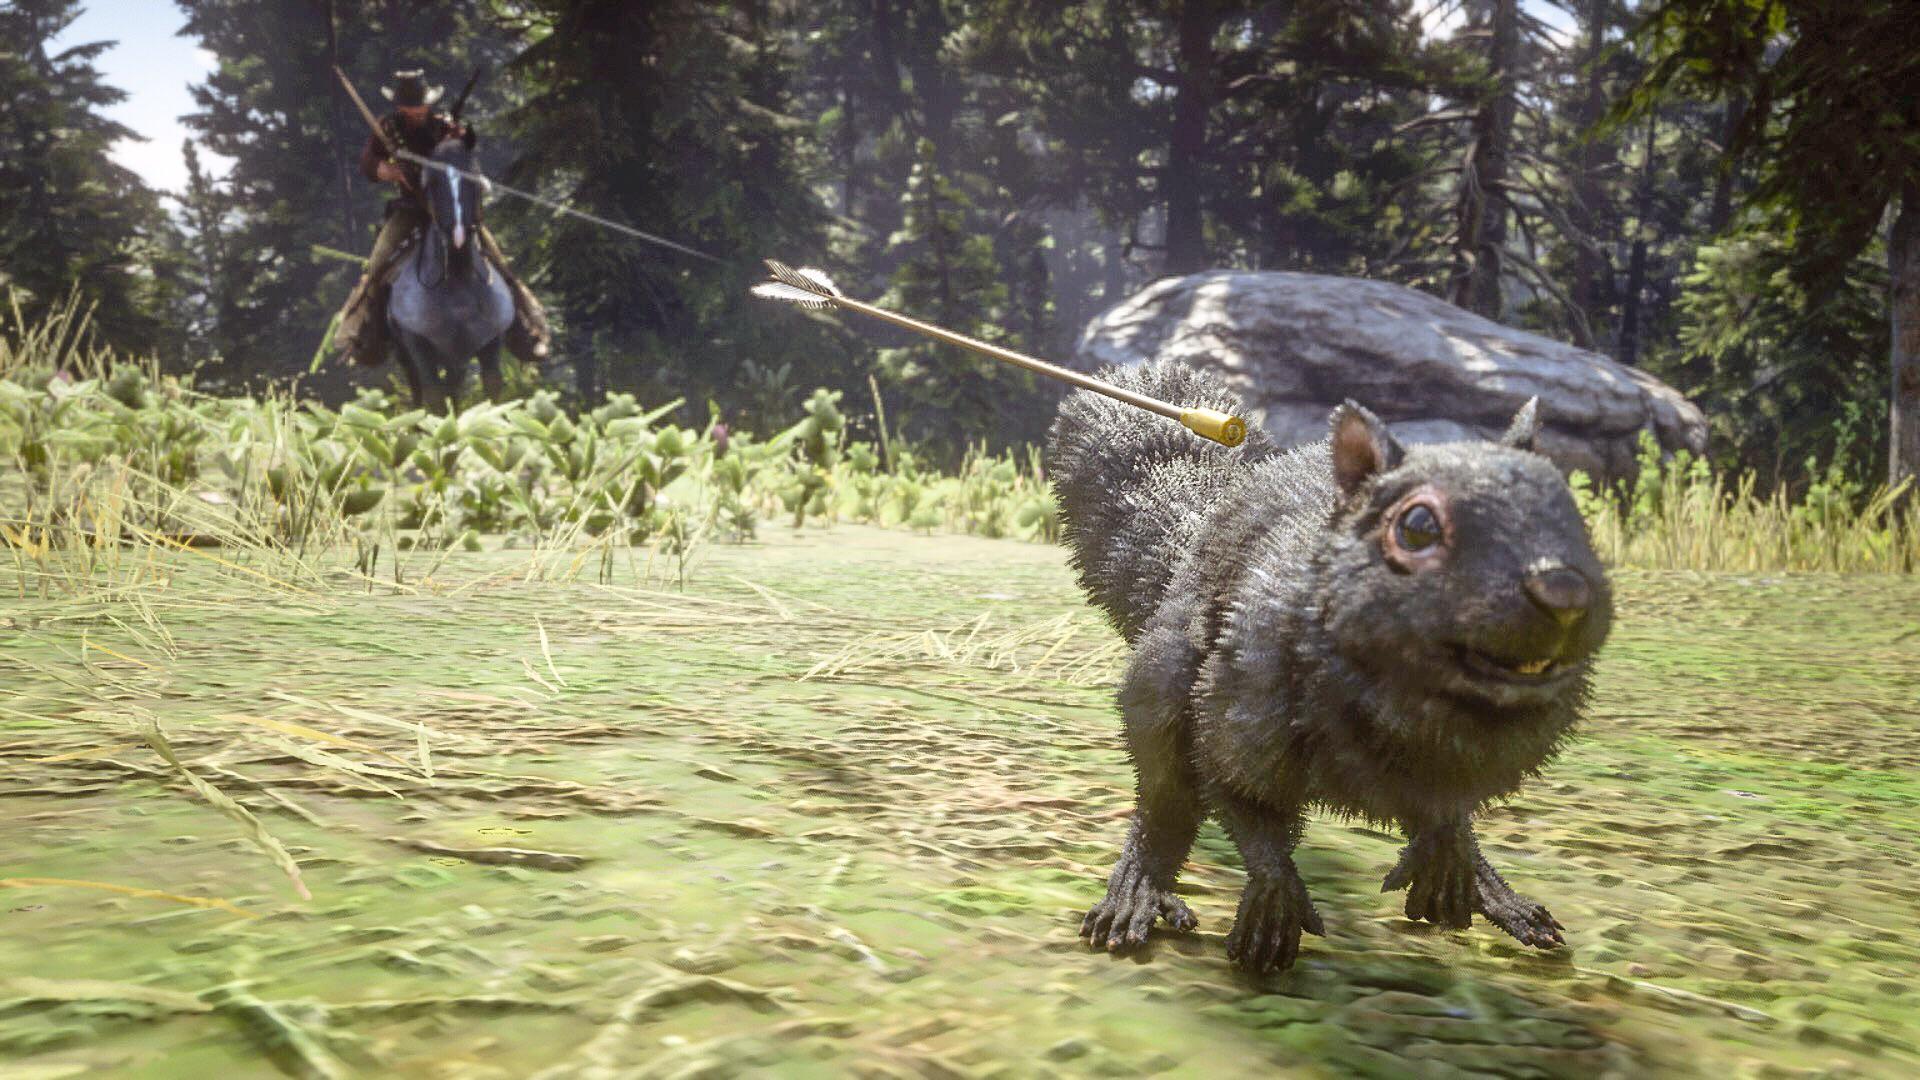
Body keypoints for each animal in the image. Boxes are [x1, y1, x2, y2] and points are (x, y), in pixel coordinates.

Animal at [1047, 358, 1612, 974]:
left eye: (1573, 514)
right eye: (1417, 527)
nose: (1563, 591)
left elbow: (1451, 805)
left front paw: (1450, 854)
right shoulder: (1238, 695)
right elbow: (1234, 793)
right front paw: (1273, 905)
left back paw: (1482, 884)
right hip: (1162, 681)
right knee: (1165, 796)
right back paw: (1140, 887)